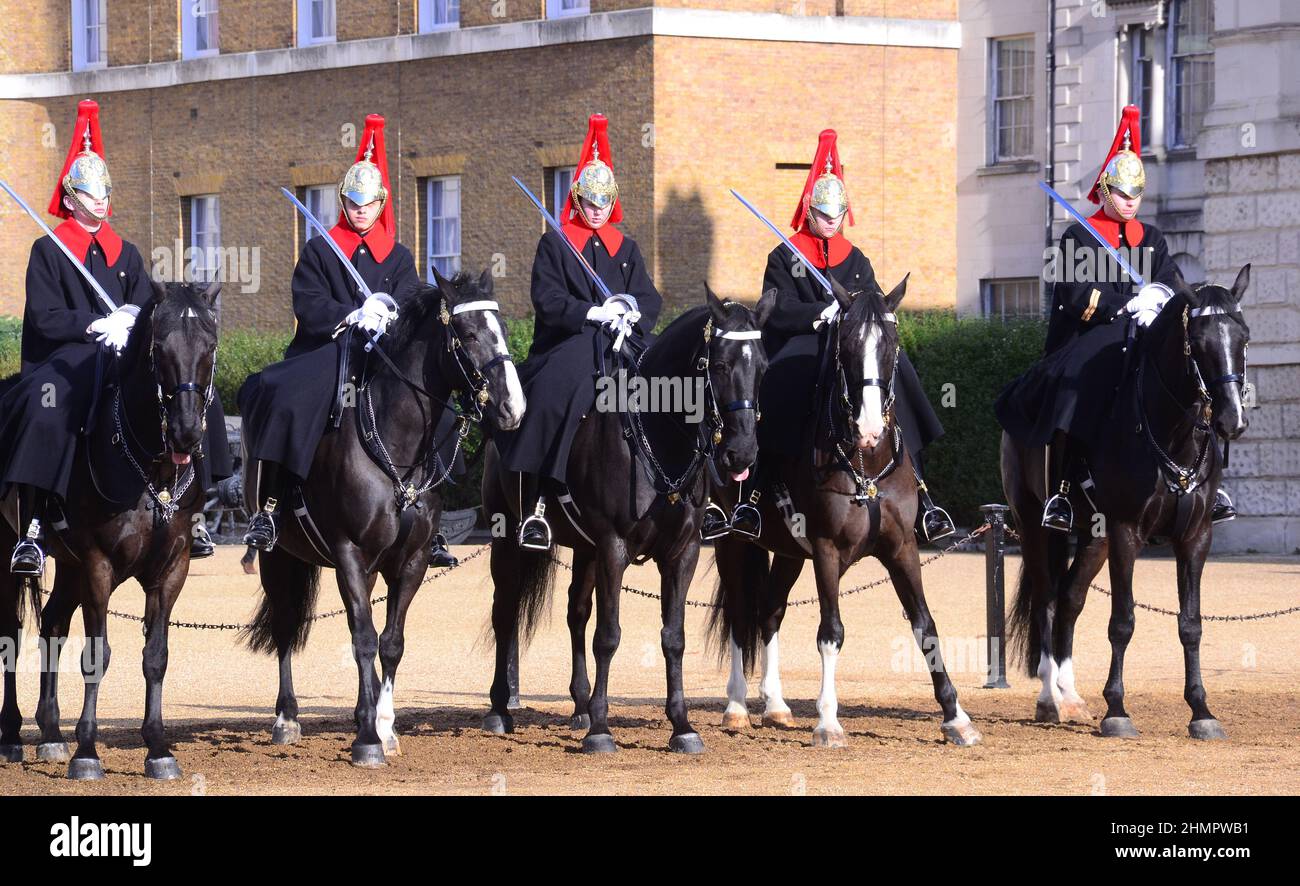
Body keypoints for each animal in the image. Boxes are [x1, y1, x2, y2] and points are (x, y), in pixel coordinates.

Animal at [0, 280, 221, 779]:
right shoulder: (99, 565)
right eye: (159, 349)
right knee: (9, 632)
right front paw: (87, 752)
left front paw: (157, 748)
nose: (186, 434)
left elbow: (155, 657)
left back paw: (50, 733)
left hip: (68, 564)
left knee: (52, 624)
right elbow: (96, 655)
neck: (152, 469)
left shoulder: (171, 569)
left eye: (211, 347)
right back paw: (11, 734)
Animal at [240, 269, 524, 767]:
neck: (394, 441)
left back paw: (361, 713)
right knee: (286, 625)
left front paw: (384, 727)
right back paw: (286, 718)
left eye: (503, 329)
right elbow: (363, 639)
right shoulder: (350, 556)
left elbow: (389, 642)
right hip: (278, 556)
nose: (513, 408)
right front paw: (368, 741)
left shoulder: (409, 562)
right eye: (467, 334)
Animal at [480, 287, 773, 753]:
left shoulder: (683, 552)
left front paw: (682, 725)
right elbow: (608, 635)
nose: (742, 454)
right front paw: (602, 729)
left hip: (585, 549)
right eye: (721, 364)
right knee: (505, 612)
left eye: (762, 366)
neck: (657, 434)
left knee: (576, 612)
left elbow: (673, 637)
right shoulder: (614, 548)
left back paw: (580, 706)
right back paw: (500, 710)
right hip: (508, 540)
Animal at [710, 276, 983, 748]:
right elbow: (831, 632)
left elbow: (924, 624)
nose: (871, 429)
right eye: (849, 346)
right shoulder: (826, 551)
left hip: (788, 552)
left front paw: (956, 715)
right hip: (734, 542)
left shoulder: (902, 548)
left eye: (891, 343)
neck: (866, 464)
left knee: (770, 612)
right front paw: (828, 721)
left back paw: (776, 705)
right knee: (742, 615)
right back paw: (736, 706)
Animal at [1003, 264, 1251, 739]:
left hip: (1093, 539)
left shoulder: (1195, 537)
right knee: (1046, 600)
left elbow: (1190, 624)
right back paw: (1049, 698)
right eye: (1199, 343)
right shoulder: (1125, 532)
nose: (1232, 420)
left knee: (1069, 600)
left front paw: (1201, 710)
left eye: (1243, 337)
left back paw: (1070, 696)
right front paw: (1116, 709)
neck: (1170, 433)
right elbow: (1123, 621)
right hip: (1033, 525)